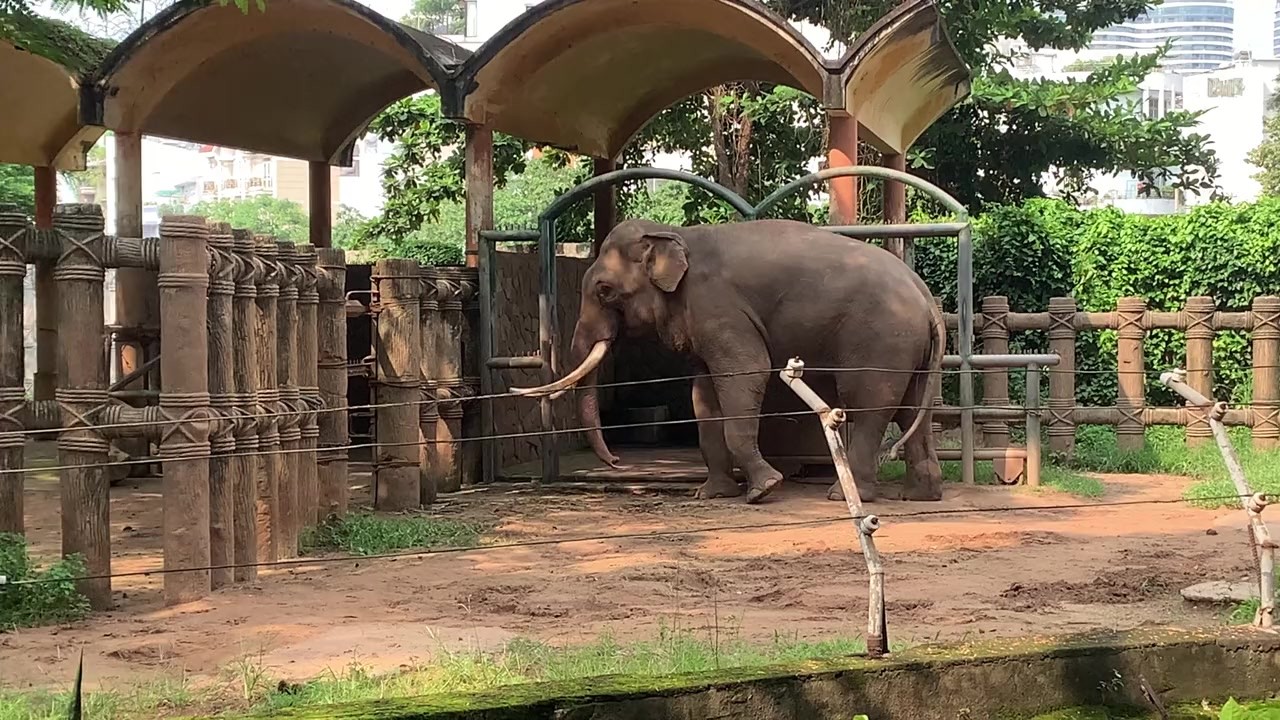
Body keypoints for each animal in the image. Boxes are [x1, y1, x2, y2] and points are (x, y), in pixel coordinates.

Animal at [514, 218, 946, 504]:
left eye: (604, 290)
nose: (617, 462)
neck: (675, 234)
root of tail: (926, 297)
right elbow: (704, 397)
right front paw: (712, 495)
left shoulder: (718, 306)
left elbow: (747, 371)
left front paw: (763, 490)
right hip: (910, 346)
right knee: (913, 410)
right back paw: (920, 496)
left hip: (880, 338)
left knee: (869, 405)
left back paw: (842, 495)